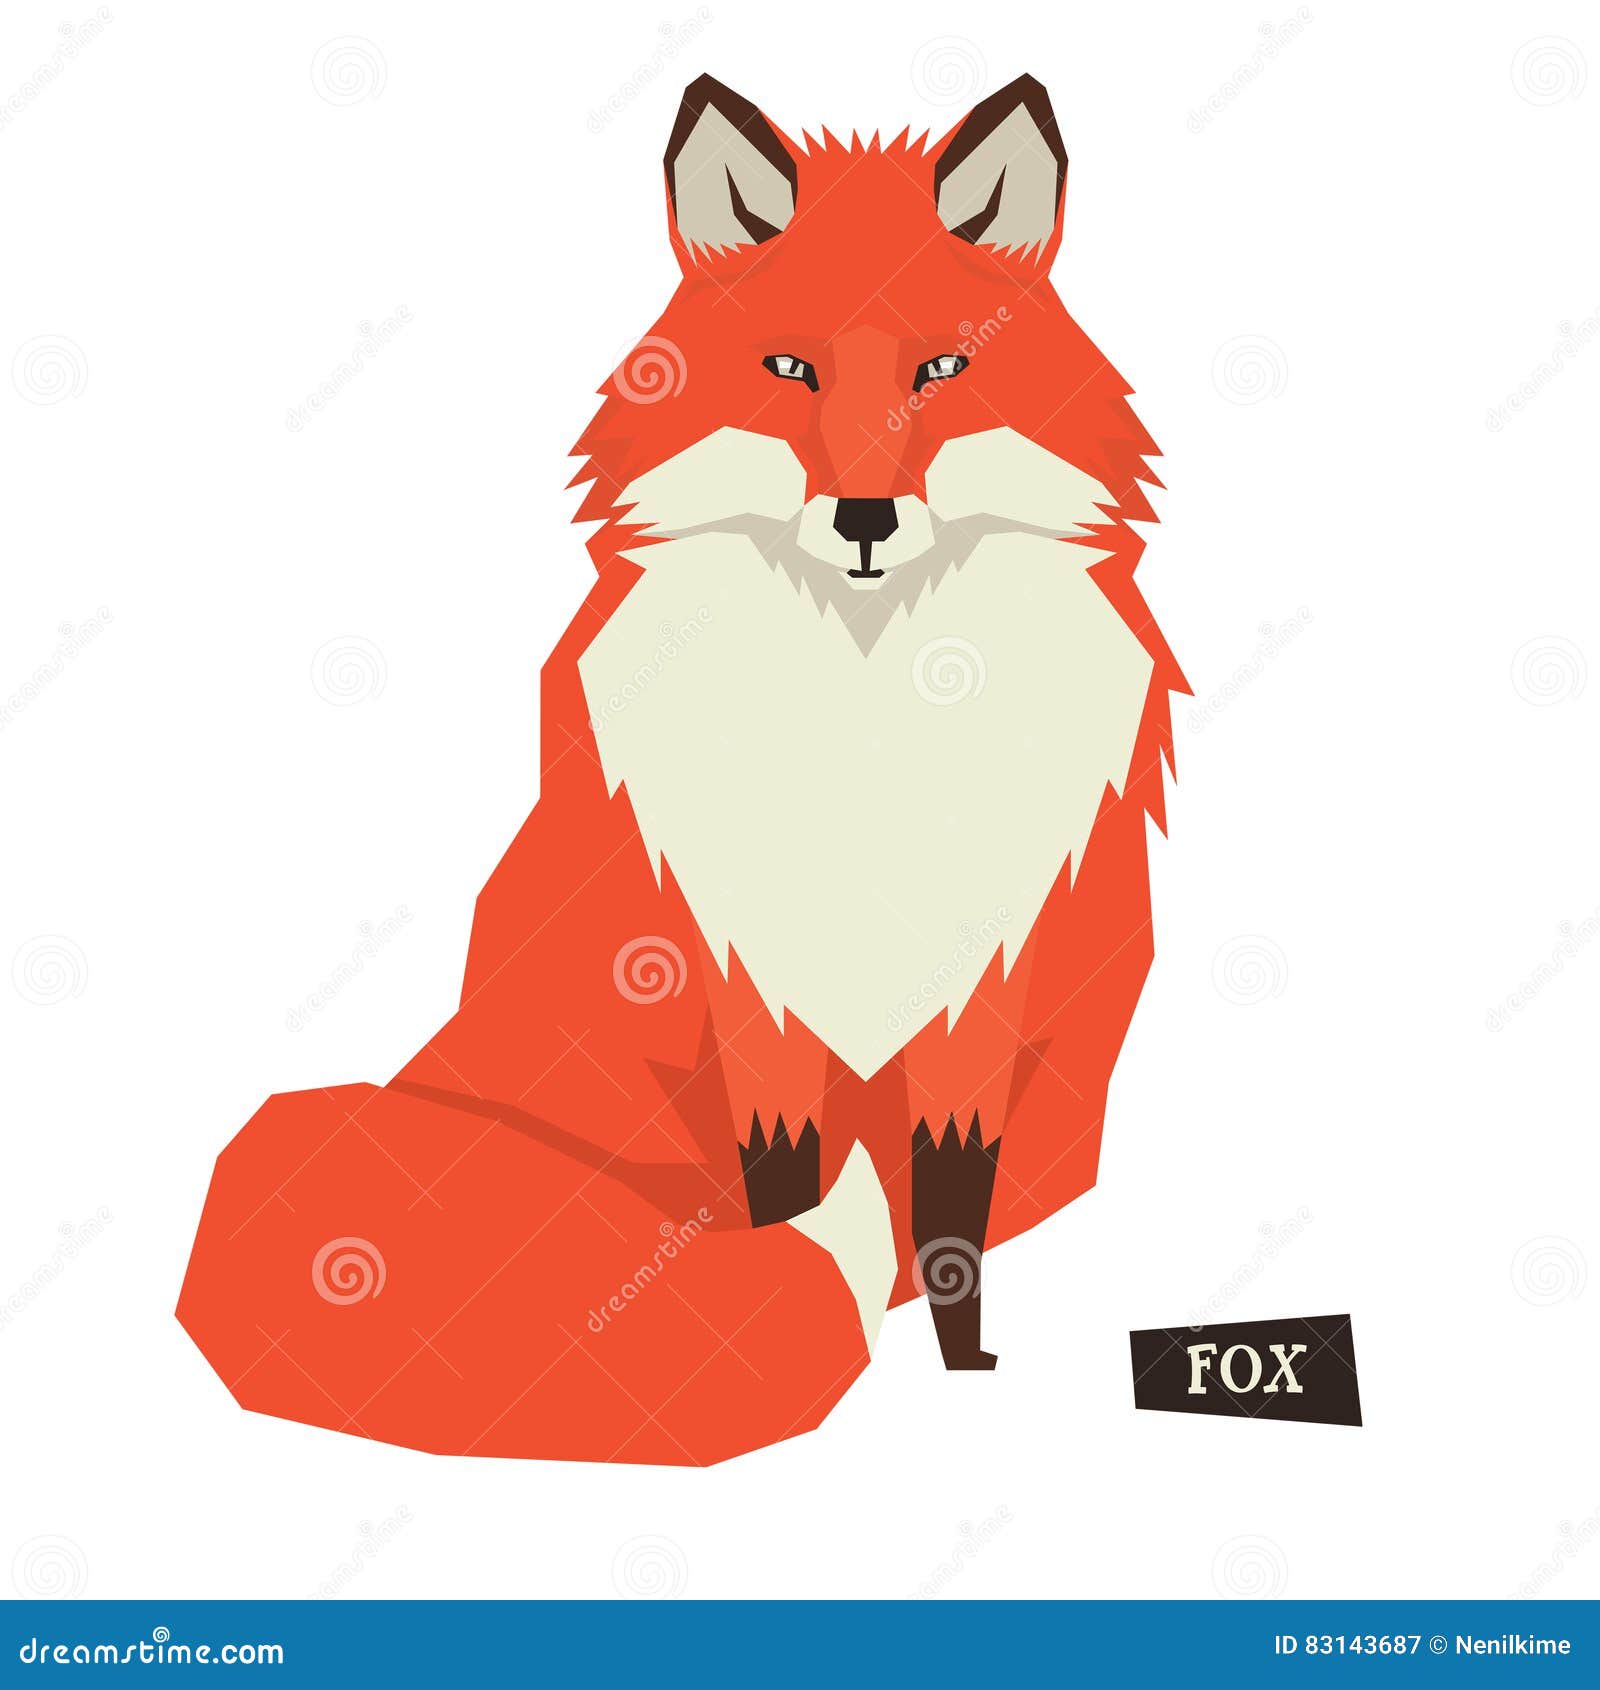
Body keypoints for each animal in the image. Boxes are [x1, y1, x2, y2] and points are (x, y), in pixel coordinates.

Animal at [179, 73, 1184, 1464]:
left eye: (939, 368)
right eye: (789, 368)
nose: (864, 520)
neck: (871, 728)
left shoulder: (984, 984)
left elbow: (951, 1205)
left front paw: (965, 1365)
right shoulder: (740, 982)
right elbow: (787, 1196)